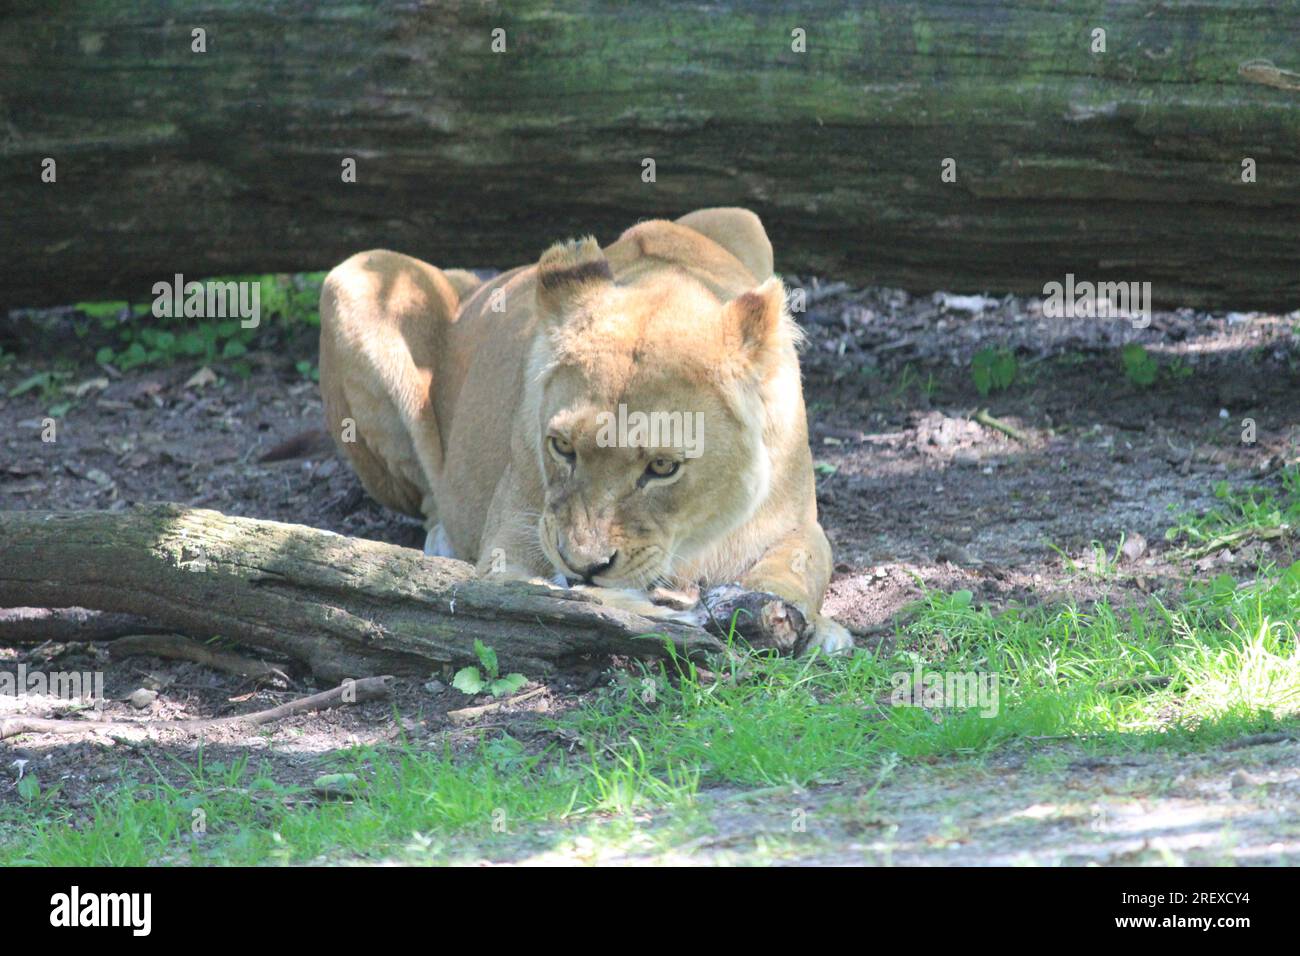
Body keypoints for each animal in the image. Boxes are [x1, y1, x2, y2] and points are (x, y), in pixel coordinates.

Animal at [318, 207, 853, 654]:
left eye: (663, 467)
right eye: (561, 447)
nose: (583, 565)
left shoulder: (796, 522)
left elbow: (800, 569)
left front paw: (813, 626)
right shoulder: (508, 552)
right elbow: (565, 599)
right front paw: (671, 616)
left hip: (740, 218)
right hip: (355, 274)